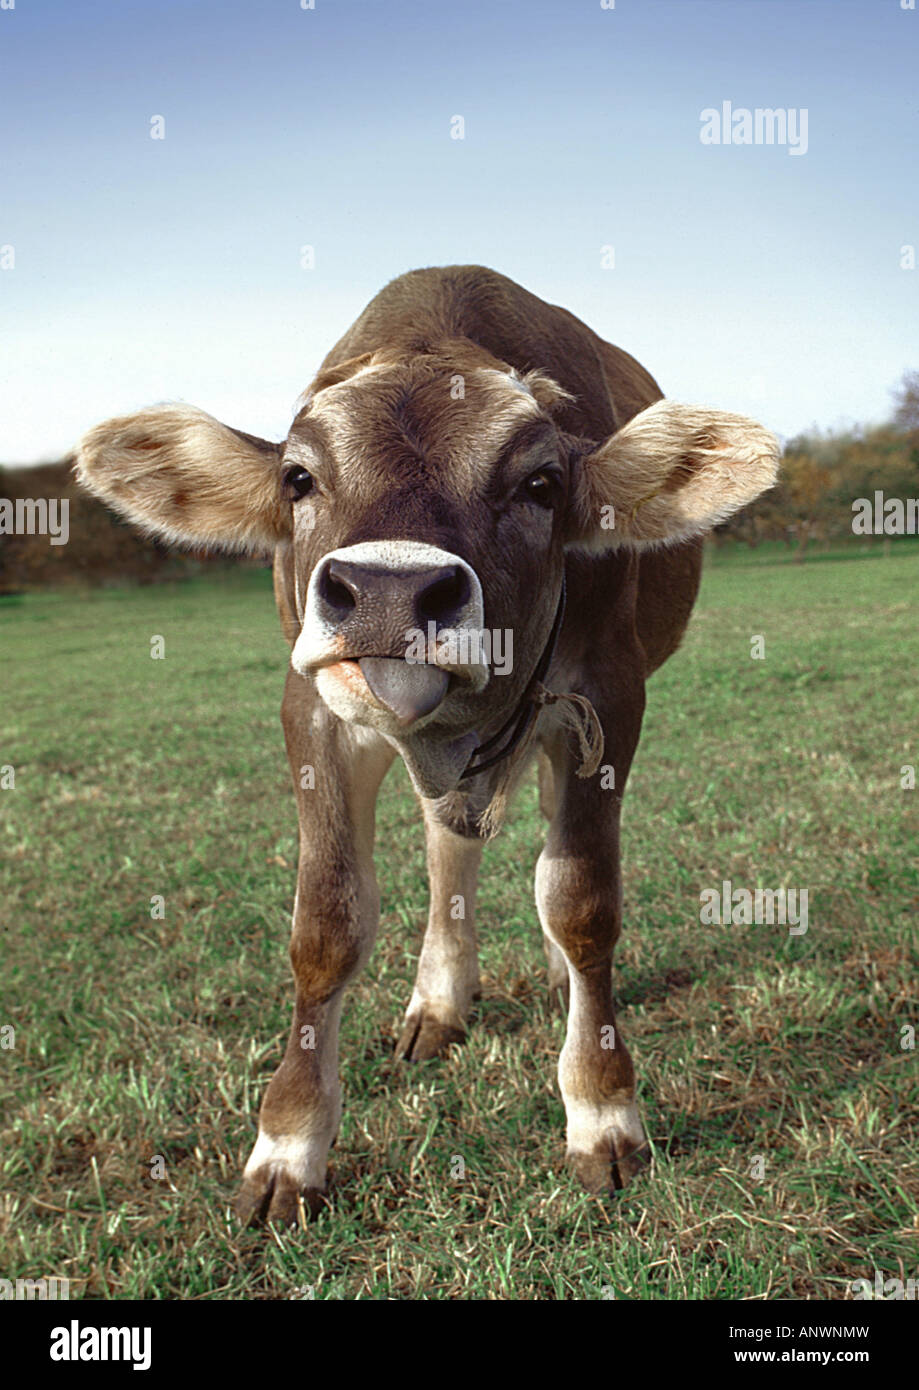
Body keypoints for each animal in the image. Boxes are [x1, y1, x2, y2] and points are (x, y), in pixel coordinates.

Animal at [76, 265, 779, 1225]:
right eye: (298, 477)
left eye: (541, 483)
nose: (386, 594)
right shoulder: (315, 712)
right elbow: (327, 922)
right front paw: (287, 1146)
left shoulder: (606, 699)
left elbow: (580, 901)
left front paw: (603, 1113)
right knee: (451, 844)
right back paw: (440, 1001)